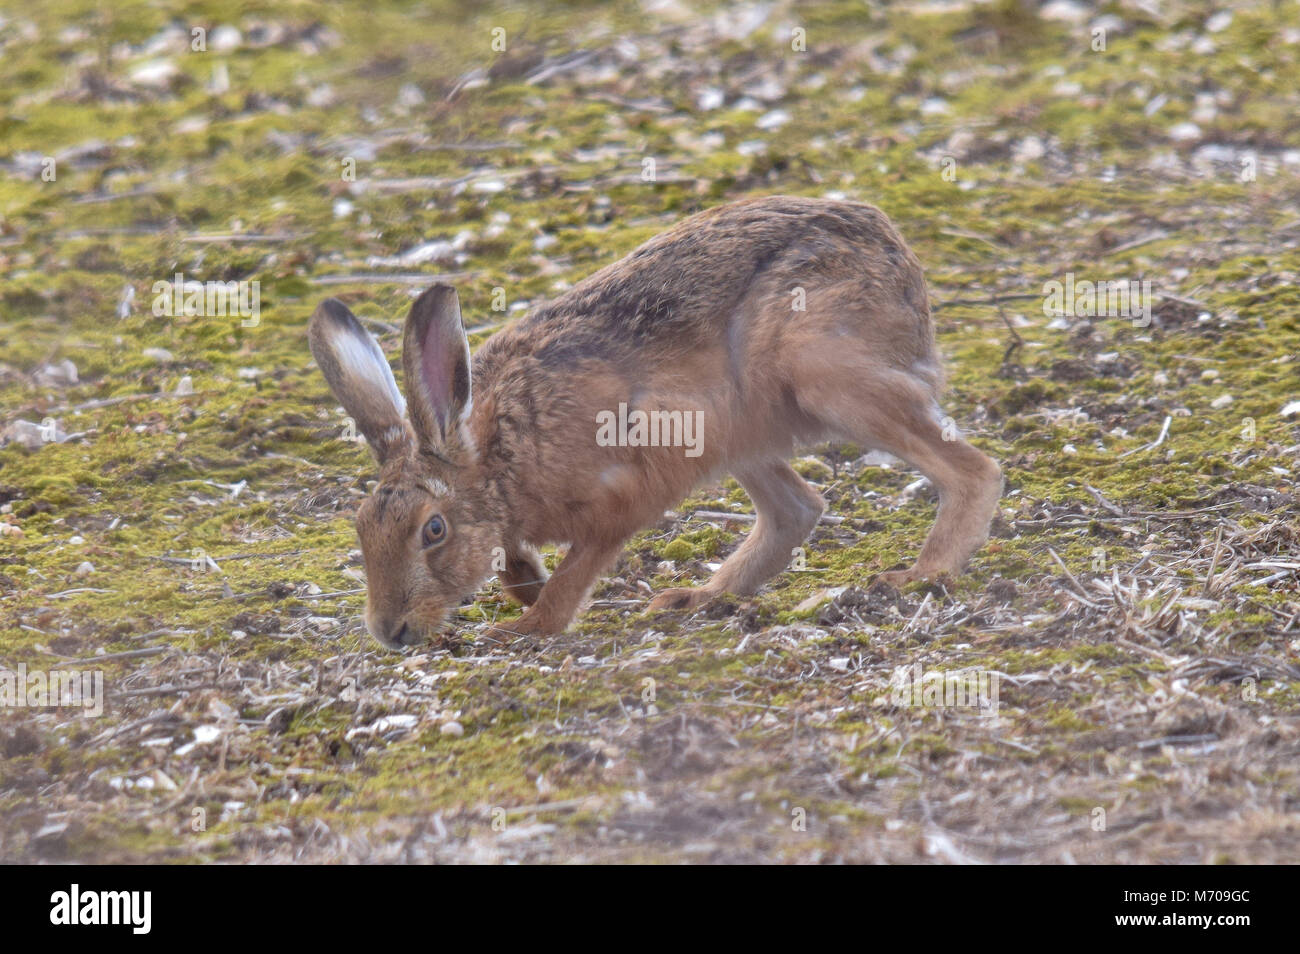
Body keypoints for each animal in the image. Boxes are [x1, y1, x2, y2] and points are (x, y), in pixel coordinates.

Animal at [308, 195, 1002, 649]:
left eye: (433, 531)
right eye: (362, 529)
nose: (390, 632)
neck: (502, 452)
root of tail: (902, 270)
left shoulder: (621, 497)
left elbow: (575, 575)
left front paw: (525, 626)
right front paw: (522, 583)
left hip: (824, 376)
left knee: (972, 471)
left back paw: (922, 573)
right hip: (740, 435)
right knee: (797, 510)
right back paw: (695, 597)